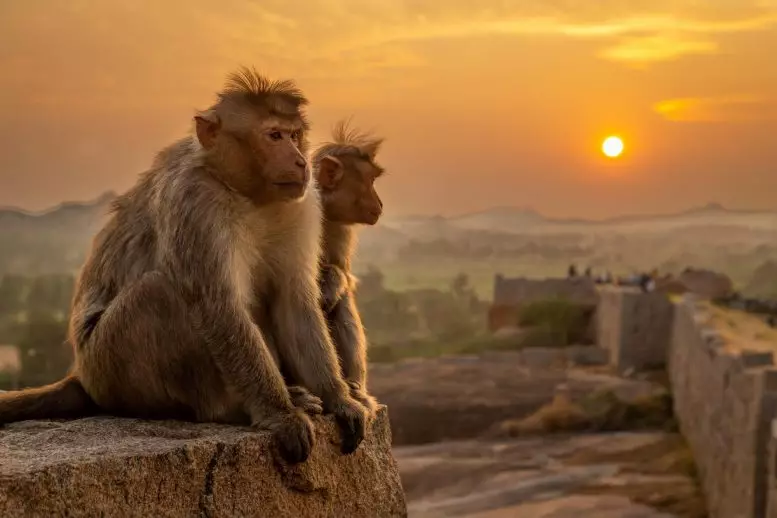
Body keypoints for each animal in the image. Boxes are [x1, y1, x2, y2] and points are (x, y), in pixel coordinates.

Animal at [0, 68, 368, 464]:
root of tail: (81, 374)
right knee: (161, 293)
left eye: (295, 134)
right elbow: (217, 307)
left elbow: (294, 300)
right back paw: (230, 409)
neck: (243, 192)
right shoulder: (195, 201)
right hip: (110, 370)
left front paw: (339, 400)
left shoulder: (302, 204)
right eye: (274, 136)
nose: (300, 160)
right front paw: (281, 414)